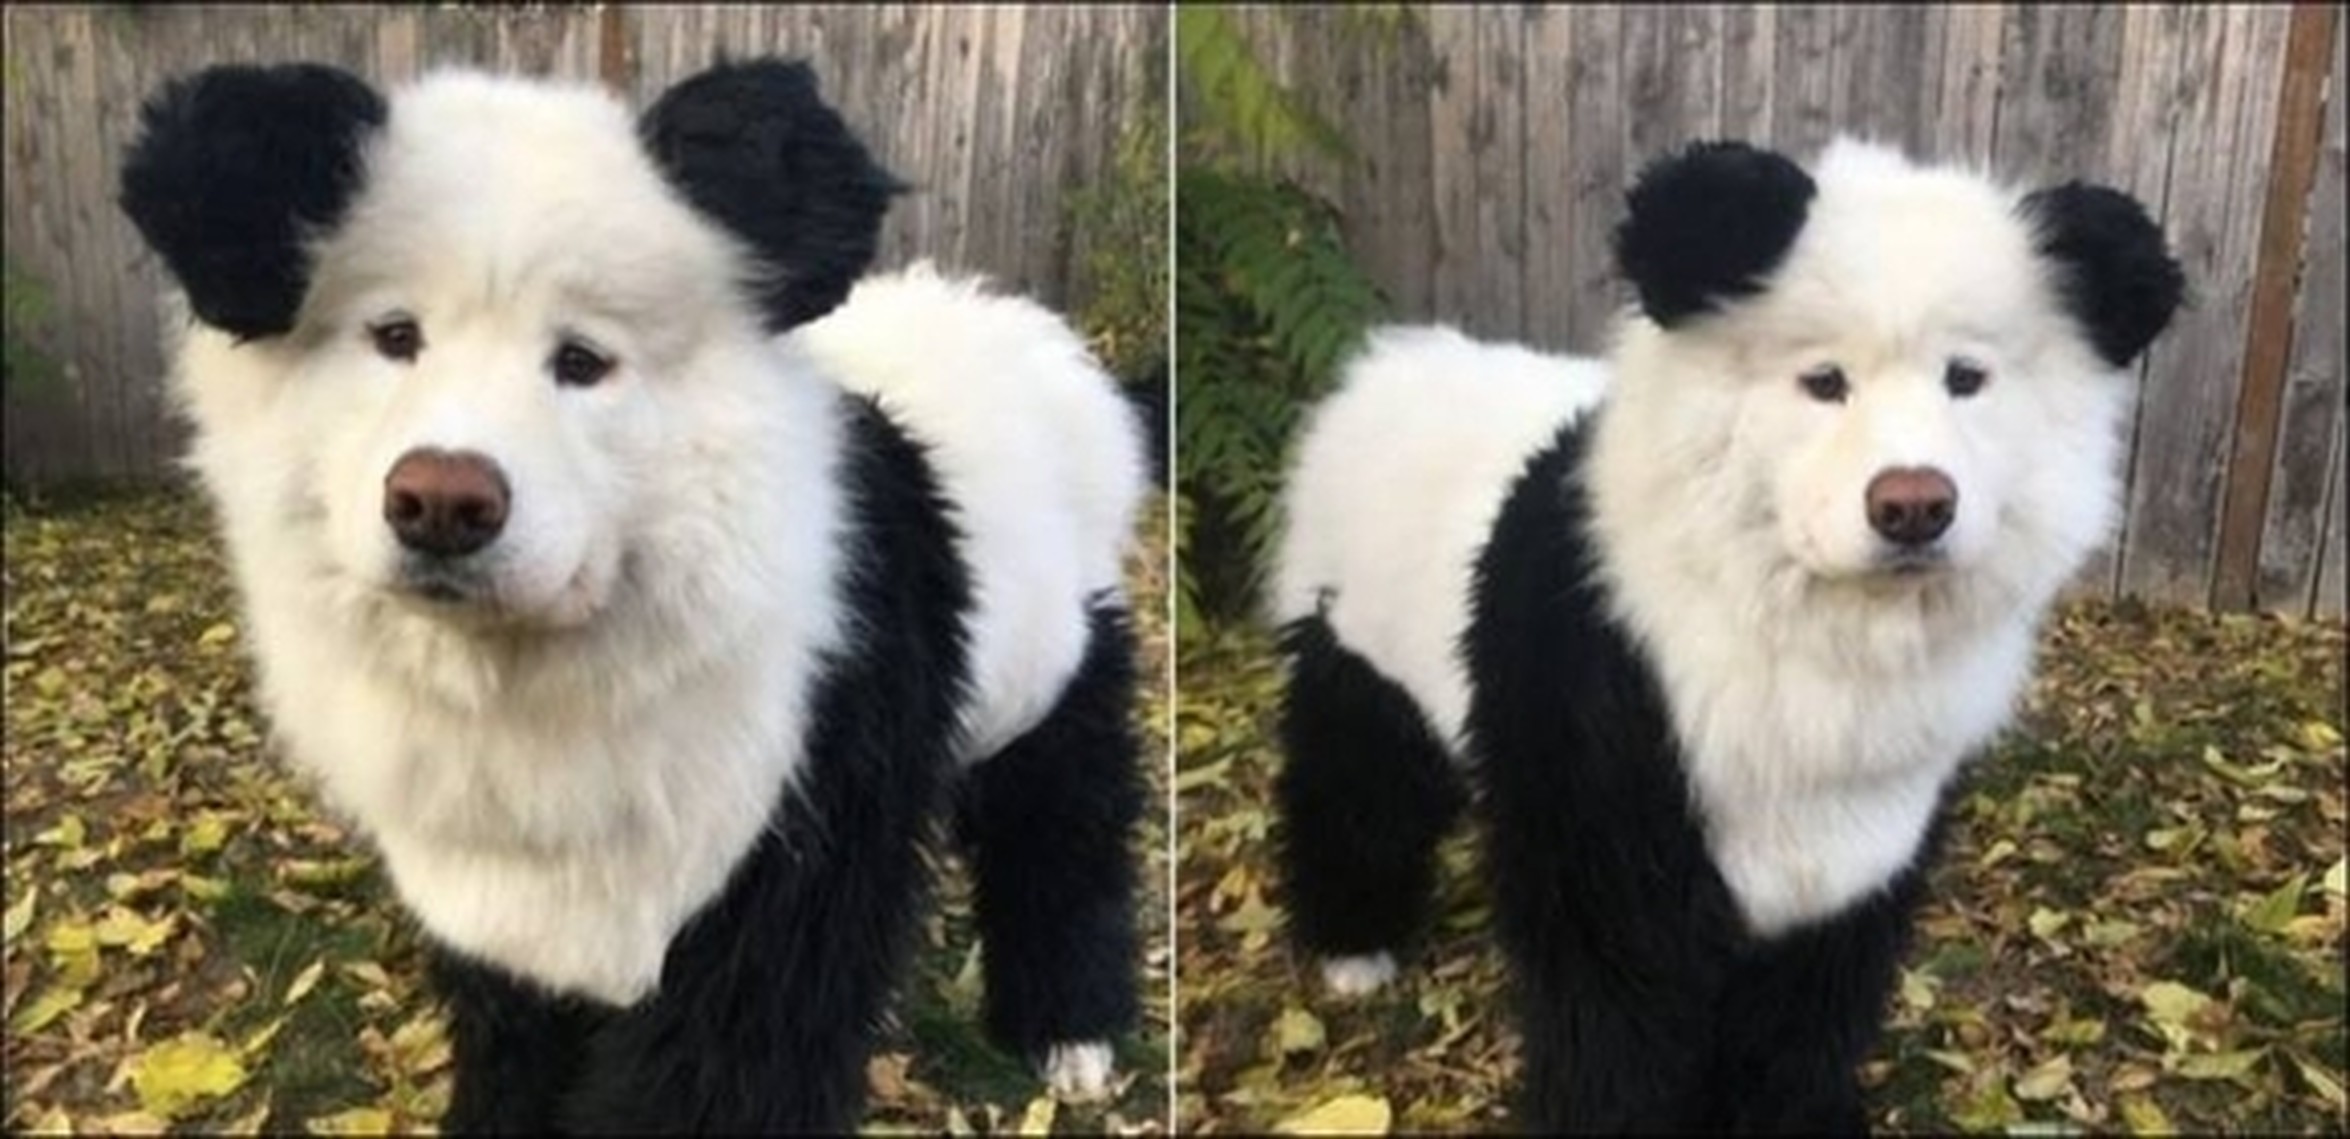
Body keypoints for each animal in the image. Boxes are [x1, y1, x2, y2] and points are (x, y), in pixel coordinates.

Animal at [116, 59, 1147, 1132]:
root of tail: (1032, 331)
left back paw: (1071, 1035)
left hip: (1060, 643)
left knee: (1065, 809)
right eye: (394, 335)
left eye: (583, 361)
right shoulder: (500, 887)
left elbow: (739, 1052)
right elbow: (512, 1032)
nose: (443, 500)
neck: (539, 671)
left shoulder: (797, 793)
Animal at [1269, 137, 2184, 1131]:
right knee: (1359, 775)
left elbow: (1807, 1007)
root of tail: (1386, 363)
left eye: (1967, 378)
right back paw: (1354, 949)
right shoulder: (1614, 732)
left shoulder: (1870, 828)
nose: (1912, 505)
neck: (1801, 617)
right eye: (1823, 382)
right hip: (1357, 628)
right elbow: (1612, 1001)